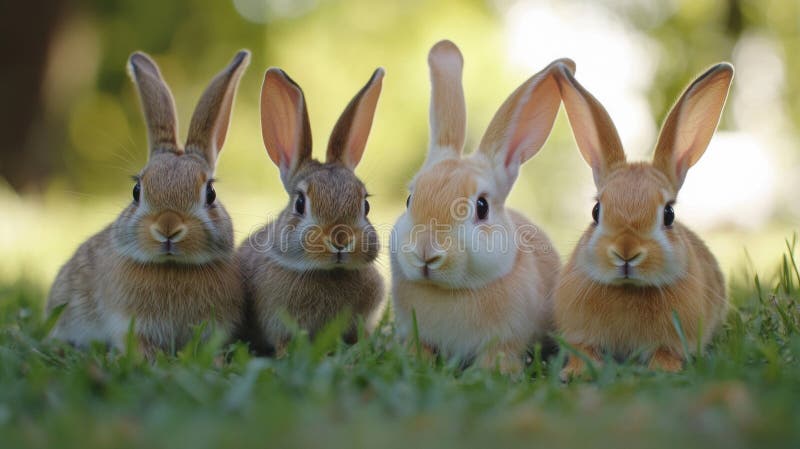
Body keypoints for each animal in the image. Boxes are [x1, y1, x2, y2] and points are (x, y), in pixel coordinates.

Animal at [390, 40, 574, 374]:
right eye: (410, 200)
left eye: (482, 207)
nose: (426, 254)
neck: (450, 291)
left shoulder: (507, 339)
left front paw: (495, 372)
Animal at [553, 63, 733, 380]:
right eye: (596, 211)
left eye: (669, 214)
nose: (626, 252)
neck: (628, 289)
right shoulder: (580, 335)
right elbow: (584, 351)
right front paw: (576, 373)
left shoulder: (674, 341)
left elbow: (666, 354)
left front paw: (662, 370)